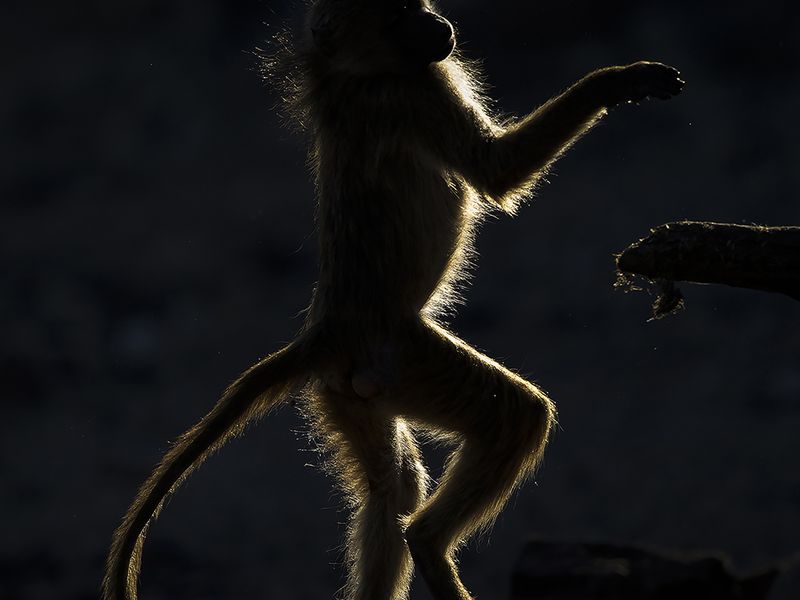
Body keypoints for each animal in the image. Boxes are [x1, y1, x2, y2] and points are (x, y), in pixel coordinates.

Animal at [102, 1, 684, 599]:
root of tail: (326, 332)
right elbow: (496, 170)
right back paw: (429, 545)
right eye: (398, 17)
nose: (443, 30)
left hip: (349, 392)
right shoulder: (420, 90)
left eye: (419, 7)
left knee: (391, 485)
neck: (349, 74)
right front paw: (620, 81)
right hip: (409, 361)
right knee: (512, 419)